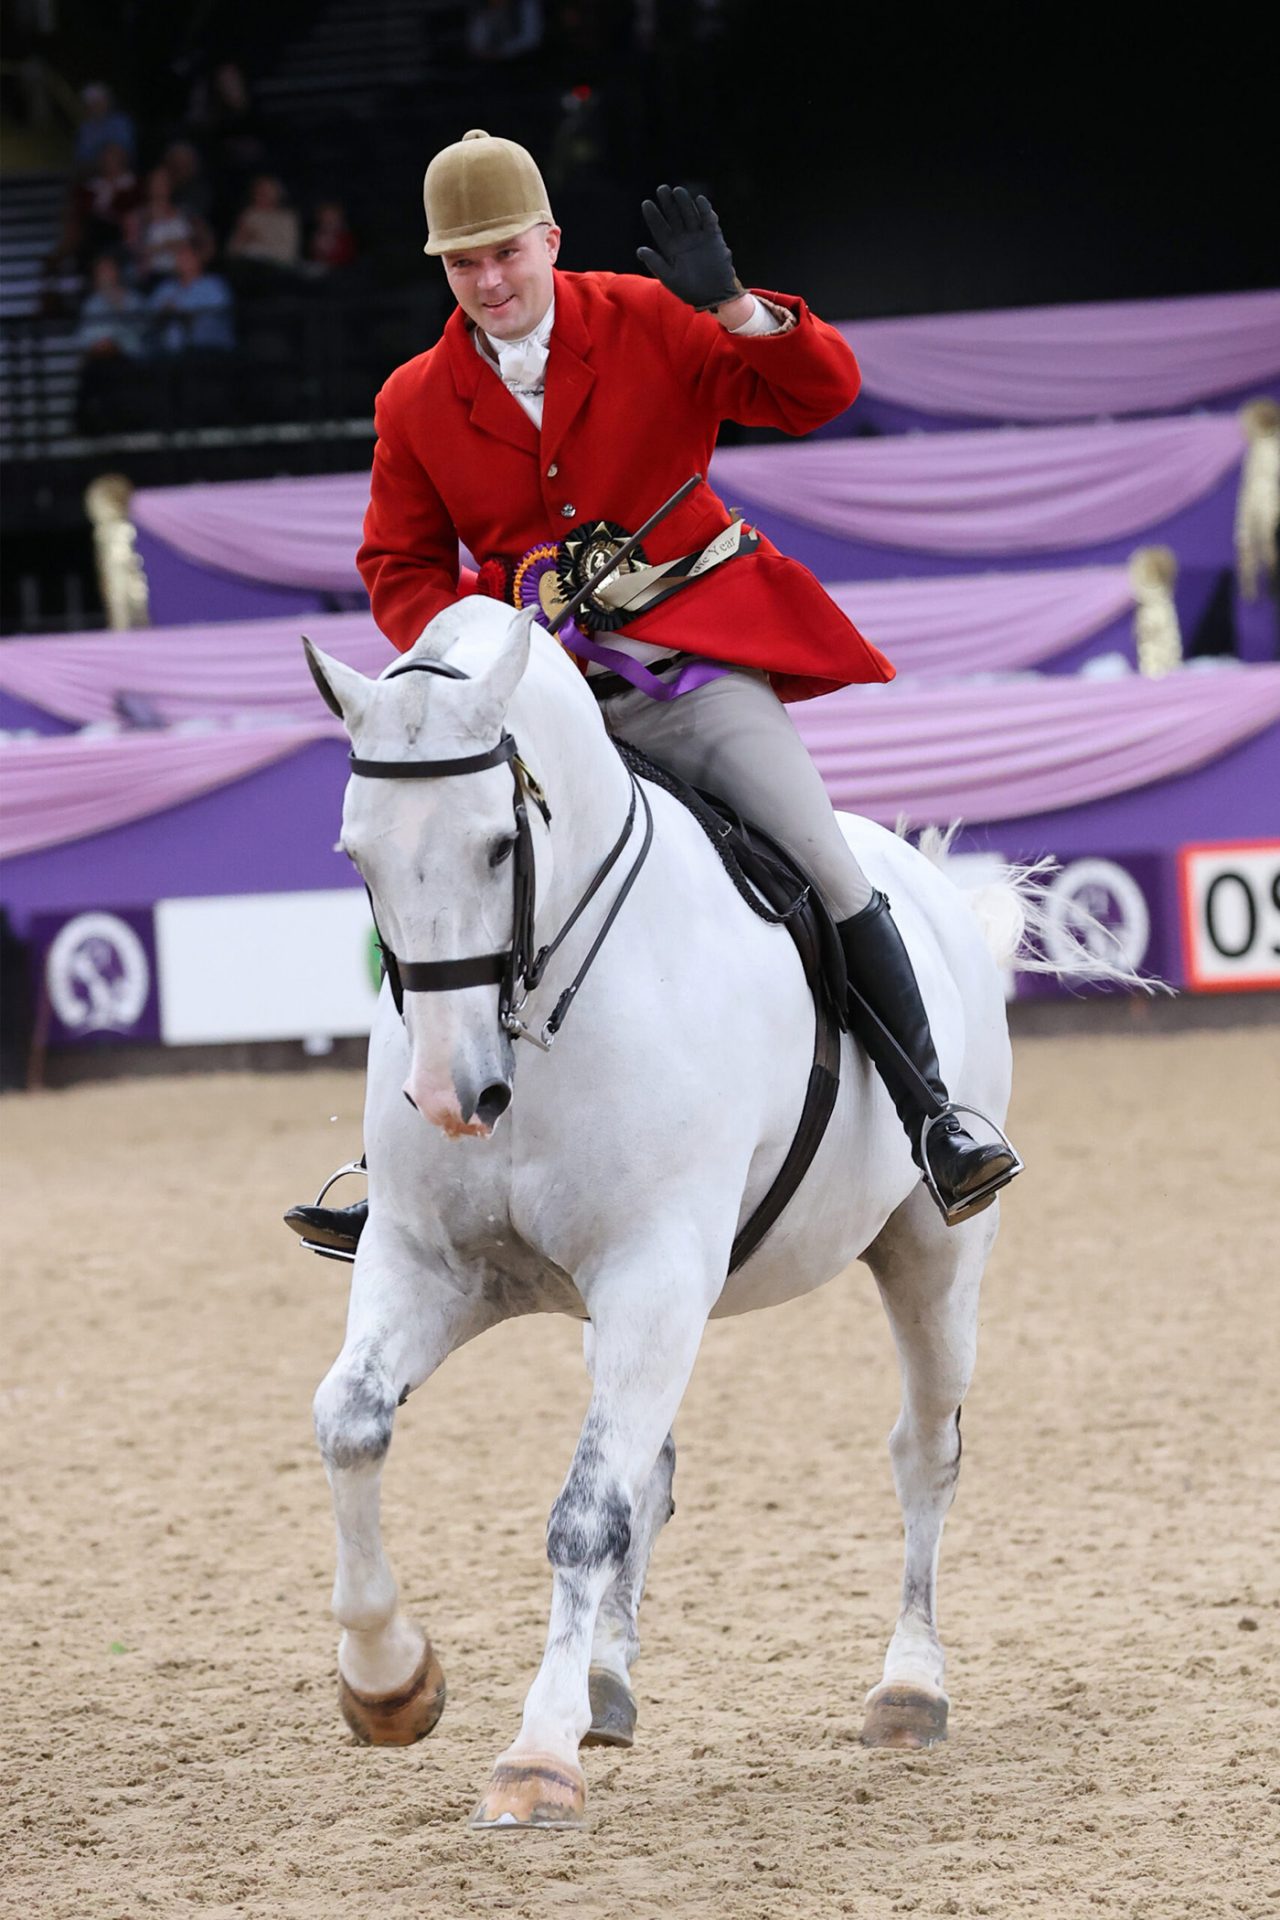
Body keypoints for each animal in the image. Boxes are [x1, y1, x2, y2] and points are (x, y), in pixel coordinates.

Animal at [302, 595, 1044, 1829]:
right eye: (355, 855)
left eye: (498, 845)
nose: (454, 1097)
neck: (541, 1015)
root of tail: (938, 893)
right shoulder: (428, 1265)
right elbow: (352, 1424)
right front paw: (390, 1682)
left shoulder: (656, 1275)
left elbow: (582, 1515)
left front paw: (533, 1758)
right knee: (647, 1469)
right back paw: (604, 1683)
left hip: (934, 1259)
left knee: (923, 1453)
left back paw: (908, 1689)